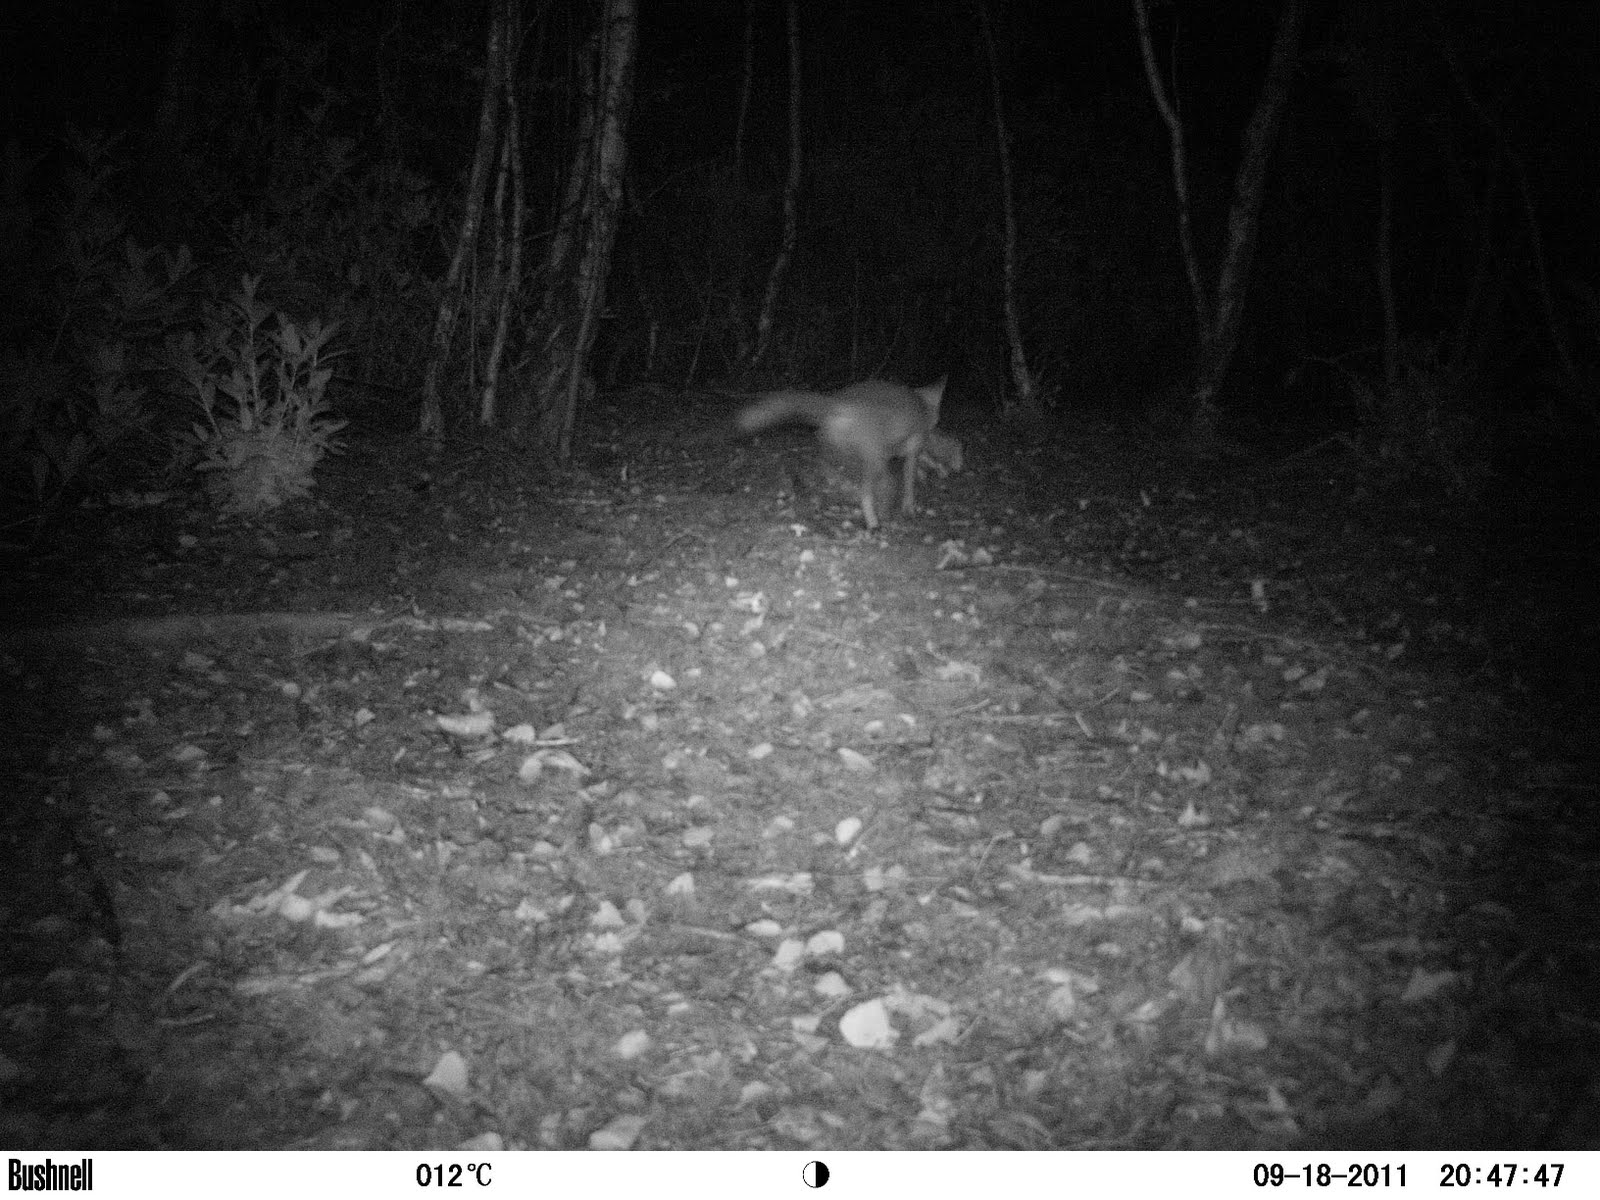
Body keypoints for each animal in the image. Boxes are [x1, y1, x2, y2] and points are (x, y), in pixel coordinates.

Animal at [737, 377, 947, 530]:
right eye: (937, 419)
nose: (935, 427)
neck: (920, 405)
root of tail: (840, 402)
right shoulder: (911, 453)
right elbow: (909, 484)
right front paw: (909, 509)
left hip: (838, 458)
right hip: (874, 463)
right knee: (869, 494)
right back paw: (875, 522)